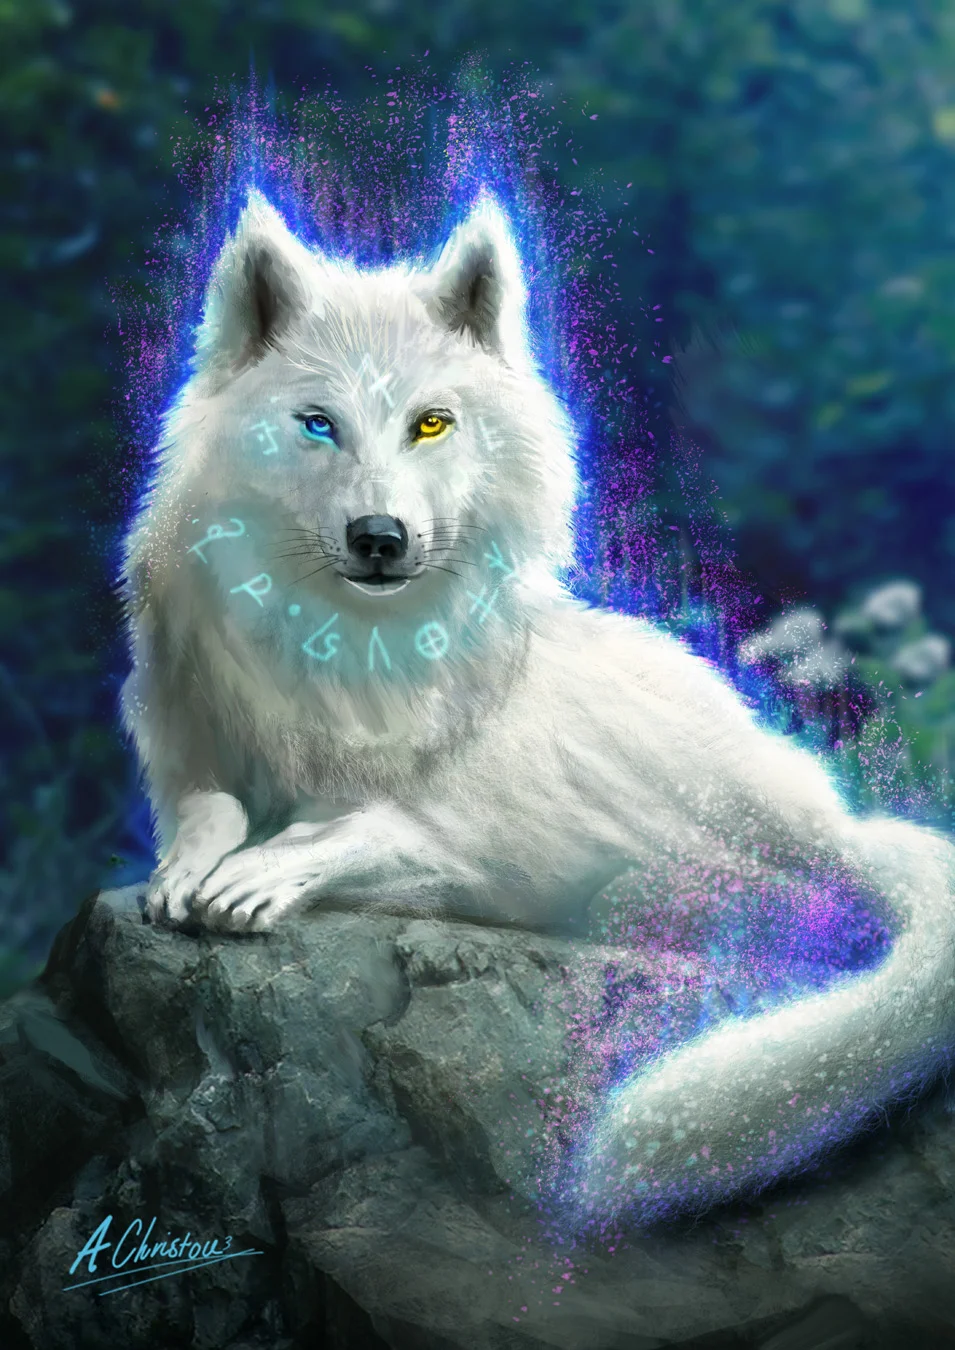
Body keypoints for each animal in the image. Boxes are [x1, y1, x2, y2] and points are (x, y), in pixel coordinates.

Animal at [117, 188, 955, 1225]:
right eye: (318, 425)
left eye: (431, 424)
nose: (380, 537)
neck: (351, 653)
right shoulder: (191, 744)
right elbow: (209, 811)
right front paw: (187, 870)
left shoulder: (491, 838)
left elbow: (374, 829)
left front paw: (264, 874)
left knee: (810, 895)